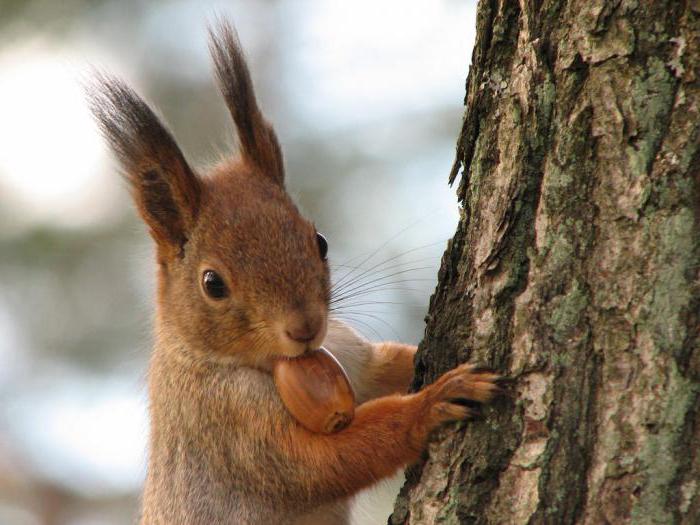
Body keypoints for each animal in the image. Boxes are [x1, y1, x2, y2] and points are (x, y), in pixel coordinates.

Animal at [90, 19, 500, 524]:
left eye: (319, 241)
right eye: (212, 284)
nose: (304, 327)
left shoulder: (350, 354)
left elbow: (390, 363)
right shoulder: (230, 427)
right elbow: (320, 464)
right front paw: (434, 401)